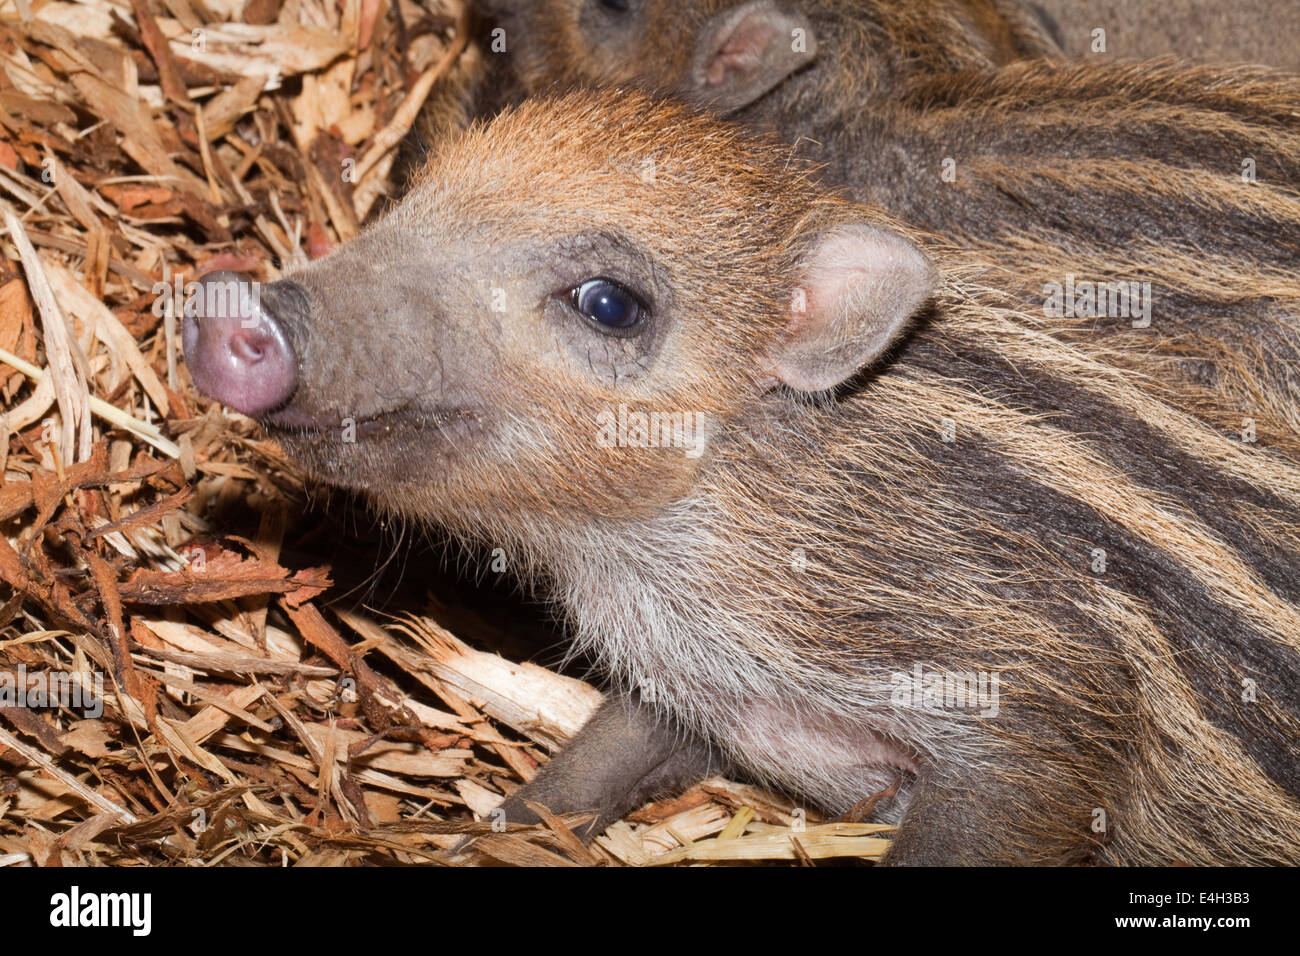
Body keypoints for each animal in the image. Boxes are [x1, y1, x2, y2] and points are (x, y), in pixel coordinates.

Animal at [184, 89, 1300, 864]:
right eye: (414, 195)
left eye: (608, 303)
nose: (231, 310)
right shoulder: (687, 693)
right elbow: (591, 762)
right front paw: (479, 835)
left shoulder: (1038, 702)